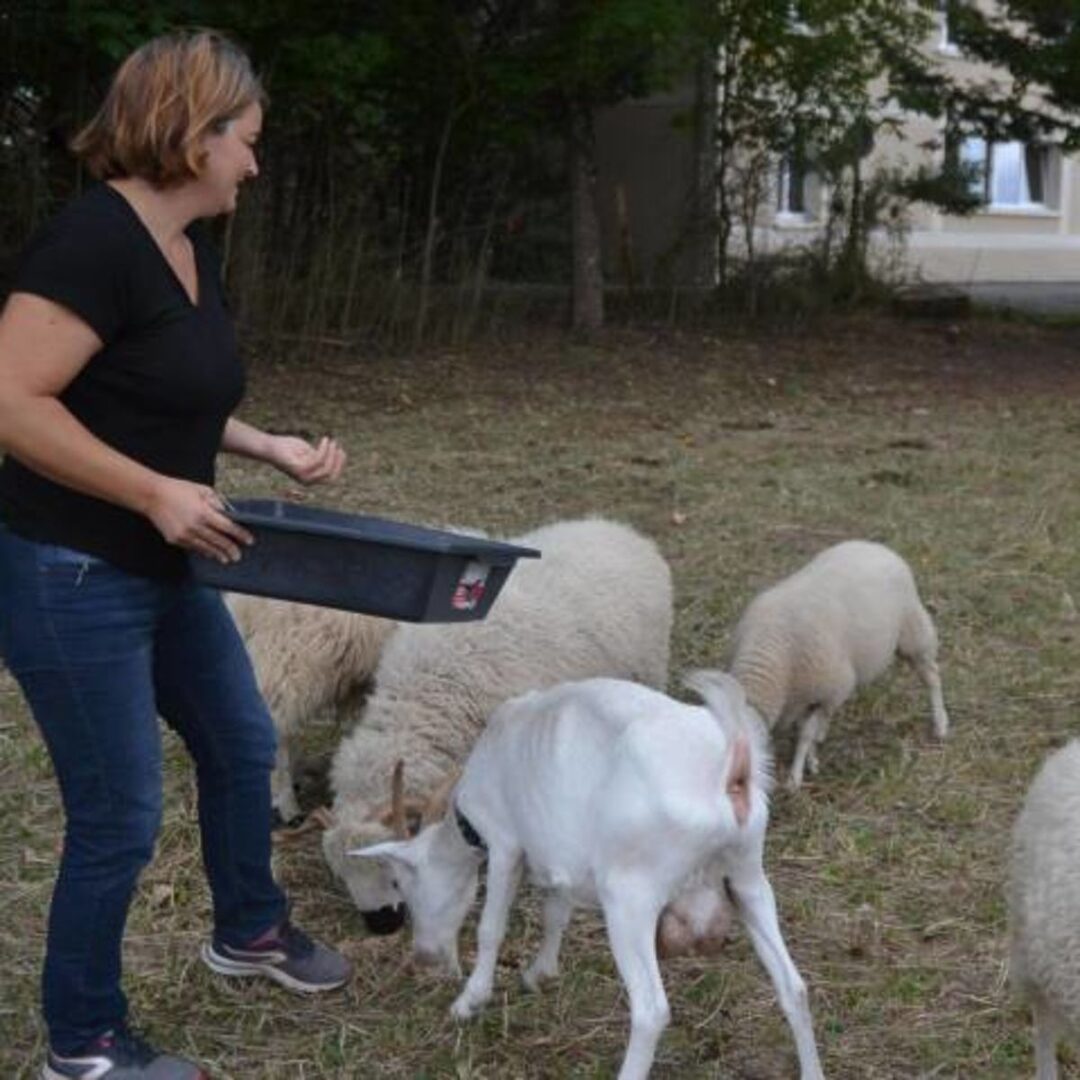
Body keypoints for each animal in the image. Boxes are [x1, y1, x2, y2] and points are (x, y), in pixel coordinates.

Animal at [321, 518, 673, 933]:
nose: (380, 925)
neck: (430, 692)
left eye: (393, 873)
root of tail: (618, 529)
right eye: (344, 877)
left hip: (649, 670)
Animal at [349, 673, 820, 1080]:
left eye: (404, 886)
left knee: (651, 1010)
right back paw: (812, 1069)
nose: (424, 957)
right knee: (793, 986)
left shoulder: (505, 844)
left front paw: (469, 1000)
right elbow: (556, 912)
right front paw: (539, 973)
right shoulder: (560, 859)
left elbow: (490, 928)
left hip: (630, 897)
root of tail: (728, 771)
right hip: (747, 876)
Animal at [730, 537, 950, 786]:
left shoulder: (828, 692)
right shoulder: (806, 695)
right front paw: (811, 760)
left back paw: (940, 724)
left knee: (932, 677)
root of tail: (875, 545)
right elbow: (806, 729)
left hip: (914, 634)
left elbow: (806, 735)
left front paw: (796, 776)